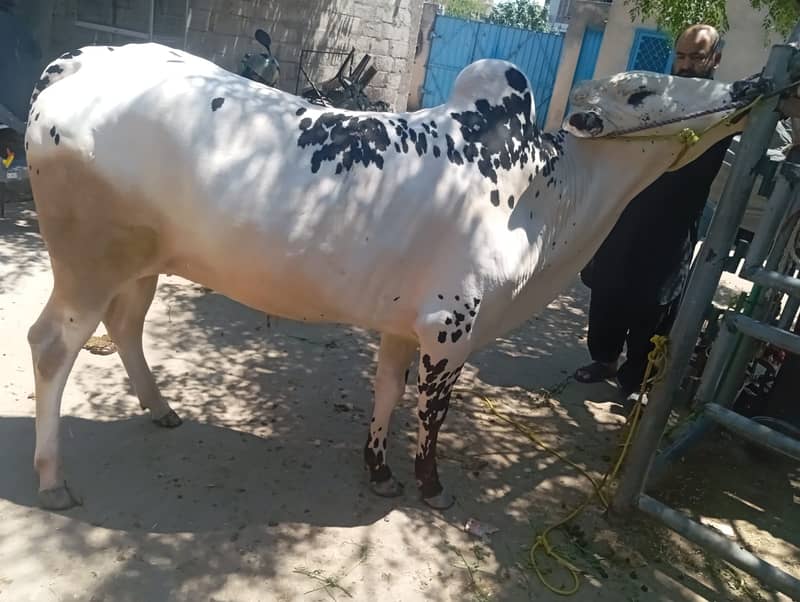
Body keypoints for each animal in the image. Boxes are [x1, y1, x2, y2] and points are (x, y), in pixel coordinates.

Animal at [24, 42, 751, 510]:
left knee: (125, 326)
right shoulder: (452, 325)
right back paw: (52, 479)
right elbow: (431, 413)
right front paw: (429, 485)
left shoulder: (407, 325)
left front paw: (377, 469)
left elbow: (386, 395)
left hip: (143, 263)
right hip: (88, 263)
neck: (547, 191)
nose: (745, 88)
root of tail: (76, 63)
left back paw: (161, 408)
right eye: (641, 91)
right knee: (51, 345)